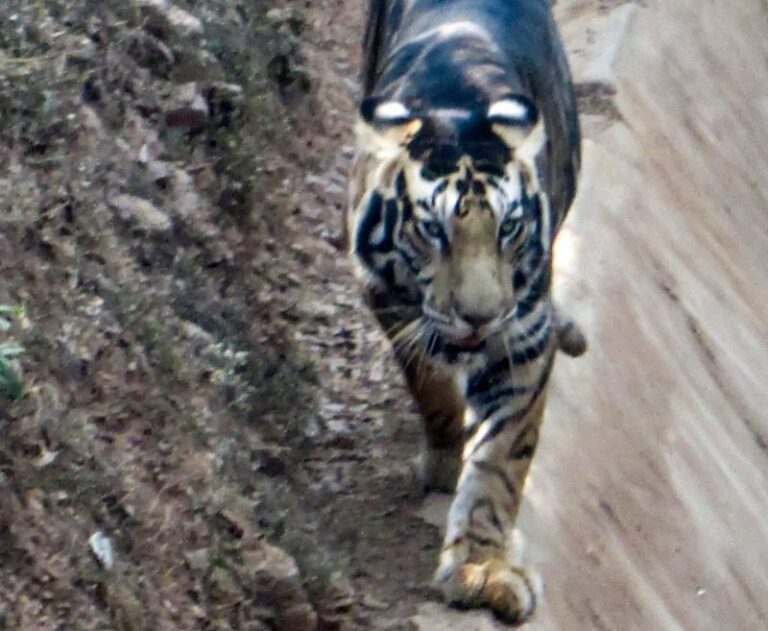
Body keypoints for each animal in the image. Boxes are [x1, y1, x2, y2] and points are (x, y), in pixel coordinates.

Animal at [347, 0, 585, 623]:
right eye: (434, 230)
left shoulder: (522, 337)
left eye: (509, 228)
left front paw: (482, 569)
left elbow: (501, 461)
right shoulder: (387, 299)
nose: (480, 316)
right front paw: (444, 456)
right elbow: (429, 384)